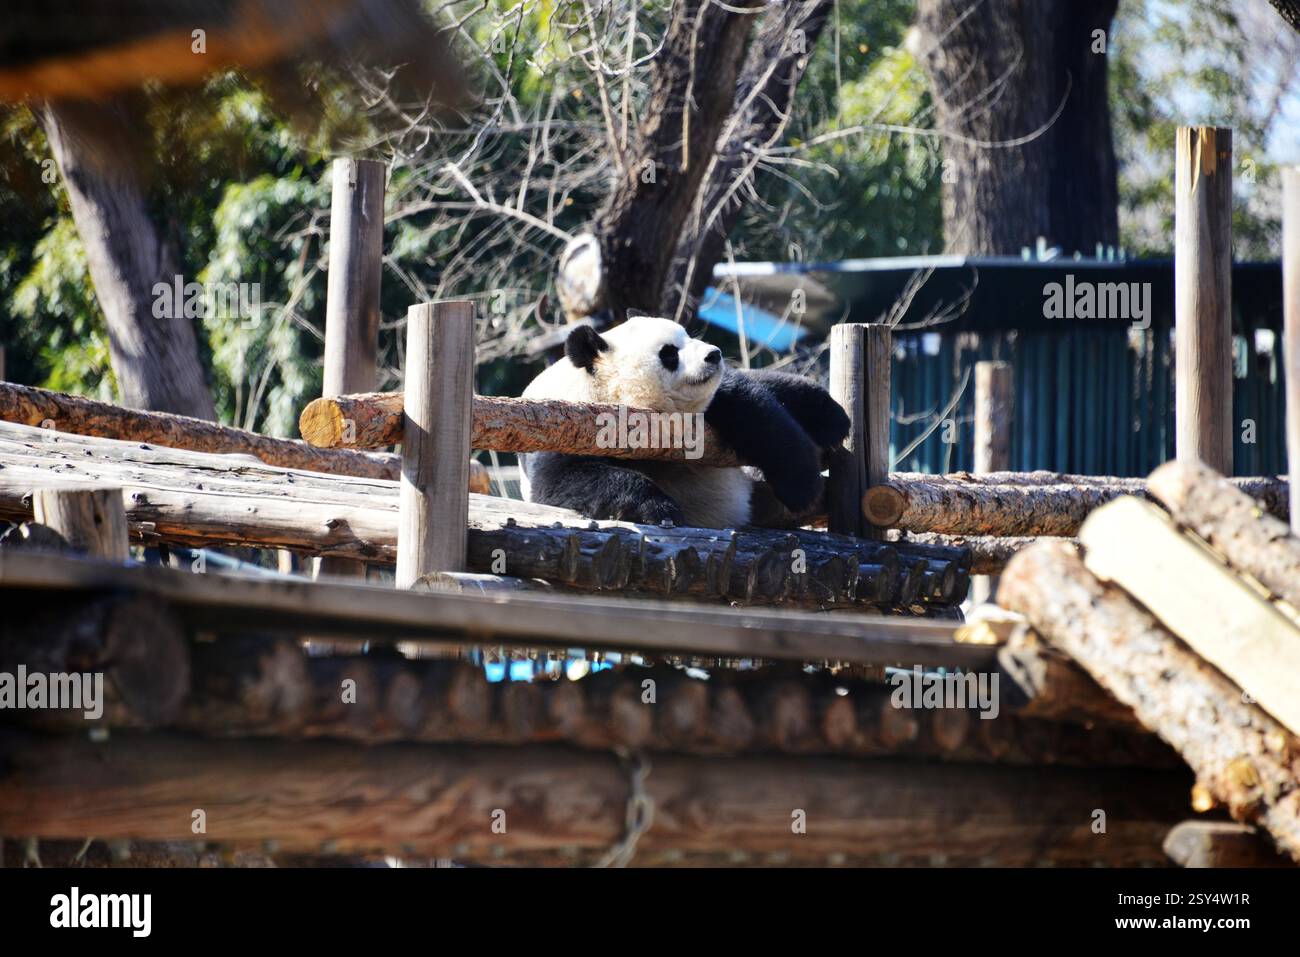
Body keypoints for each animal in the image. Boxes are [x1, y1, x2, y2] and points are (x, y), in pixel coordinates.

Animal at [520, 314, 850, 528]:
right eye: (669, 353)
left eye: (689, 336)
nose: (714, 354)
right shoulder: (566, 430)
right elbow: (564, 481)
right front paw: (659, 508)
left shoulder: (713, 403)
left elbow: (753, 410)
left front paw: (801, 485)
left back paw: (831, 419)